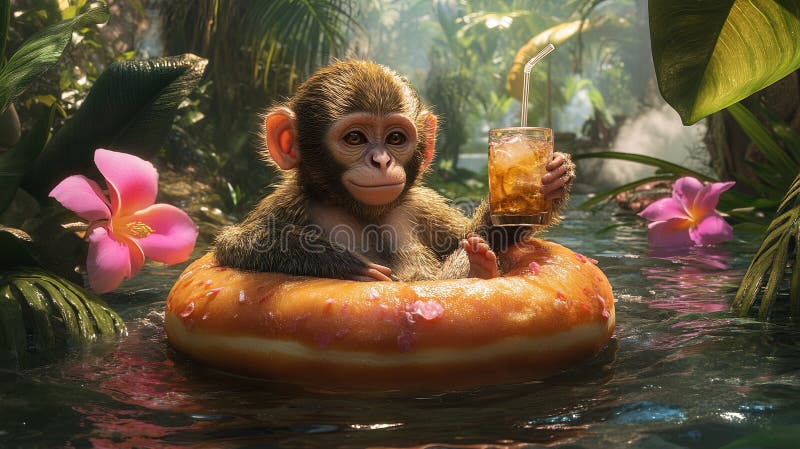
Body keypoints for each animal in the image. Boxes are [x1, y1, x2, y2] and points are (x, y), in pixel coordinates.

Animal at [214, 60, 574, 282]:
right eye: (355, 138)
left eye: (395, 138)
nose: (381, 161)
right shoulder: (289, 202)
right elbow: (234, 247)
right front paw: (340, 265)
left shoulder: (421, 203)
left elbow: (474, 235)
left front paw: (554, 182)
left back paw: (479, 268)